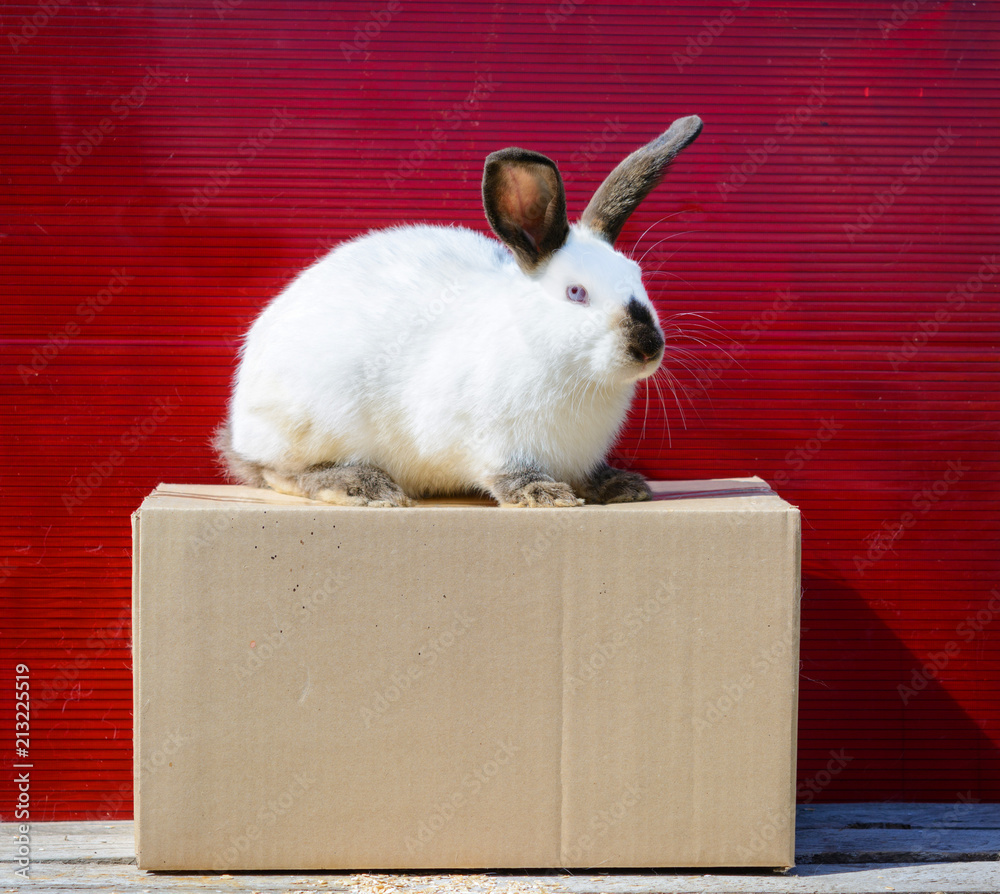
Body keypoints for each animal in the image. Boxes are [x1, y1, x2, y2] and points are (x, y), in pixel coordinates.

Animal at [215, 114, 703, 507]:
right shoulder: (490, 441)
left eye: (637, 275)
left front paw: (621, 486)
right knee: (277, 472)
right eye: (576, 292)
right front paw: (542, 494)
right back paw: (361, 486)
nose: (649, 348)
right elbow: (505, 472)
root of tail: (239, 425)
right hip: (312, 423)